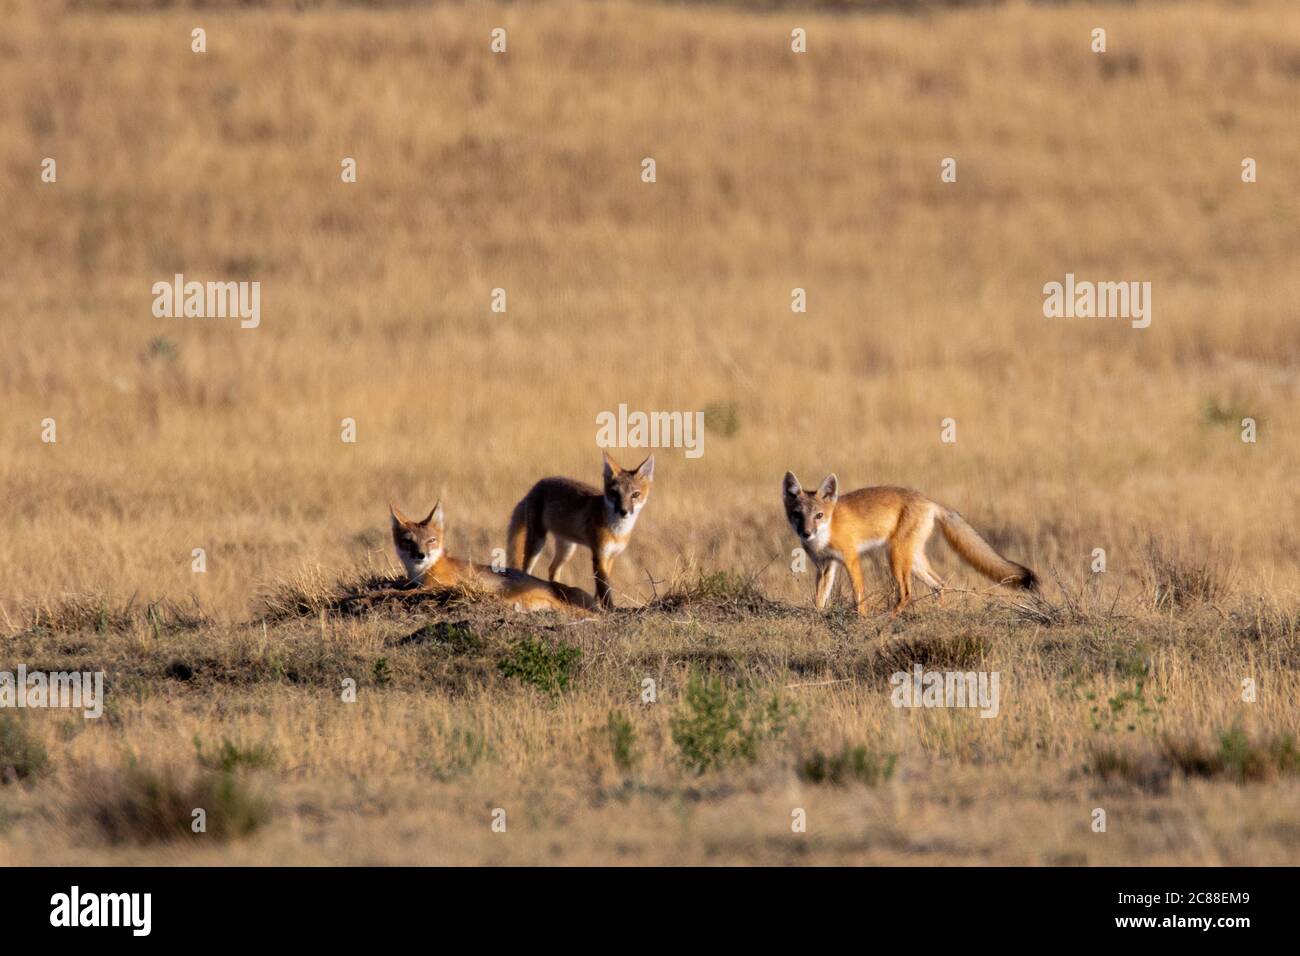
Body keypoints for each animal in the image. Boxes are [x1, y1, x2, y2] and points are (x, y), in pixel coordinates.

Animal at [389, 501, 599, 614]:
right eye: (408, 542)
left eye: (431, 540)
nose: (421, 554)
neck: (422, 571)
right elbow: (403, 585)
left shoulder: (440, 586)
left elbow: (405, 592)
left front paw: (389, 593)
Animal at [506, 452, 654, 608]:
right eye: (614, 493)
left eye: (635, 495)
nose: (623, 511)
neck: (617, 532)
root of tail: (538, 484)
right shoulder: (599, 555)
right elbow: (604, 588)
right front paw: (609, 608)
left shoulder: (611, 556)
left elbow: (601, 588)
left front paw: (599, 604)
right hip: (537, 542)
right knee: (527, 568)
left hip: (567, 549)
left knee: (552, 569)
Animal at [782, 472, 1038, 617]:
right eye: (797, 515)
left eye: (819, 516)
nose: (806, 533)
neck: (826, 534)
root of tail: (930, 501)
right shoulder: (826, 566)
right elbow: (819, 598)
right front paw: (817, 617)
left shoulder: (851, 559)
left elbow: (858, 595)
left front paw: (861, 618)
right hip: (911, 560)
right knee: (939, 584)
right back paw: (938, 613)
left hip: (896, 557)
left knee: (906, 594)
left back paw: (887, 618)